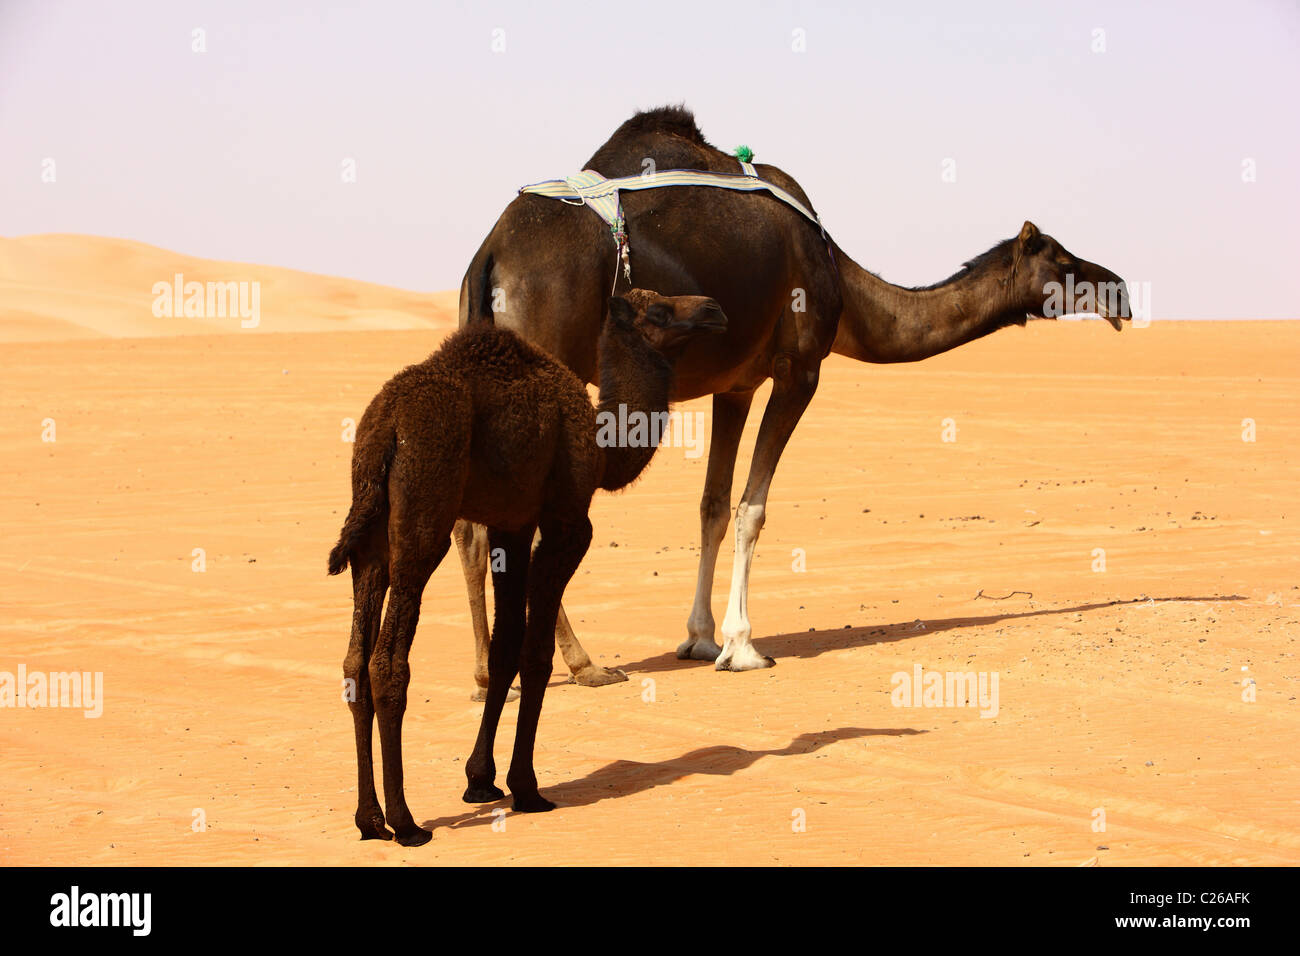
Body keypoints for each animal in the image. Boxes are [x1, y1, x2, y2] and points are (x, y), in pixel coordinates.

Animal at [328, 289, 726, 845]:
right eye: (659, 311)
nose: (714, 309)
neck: (600, 447)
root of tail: (385, 426)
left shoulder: (510, 526)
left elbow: (504, 649)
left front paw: (480, 780)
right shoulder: (567, 523)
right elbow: (534, 655)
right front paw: (527, 788)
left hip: (370, 533)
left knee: (354, 660)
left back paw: (368, 820)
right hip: (422, 516)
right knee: (388, 661)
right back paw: (405, 822)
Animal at [455, 105, 1131, 682]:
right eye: (1062, 258)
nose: (1121, 290)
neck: (844, 284)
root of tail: (490, 258)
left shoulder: (736, 383)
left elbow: (712, 504)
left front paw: (698, 637)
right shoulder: (800, 368)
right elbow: (752, 508)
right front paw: (741, 646)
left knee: (475, 525)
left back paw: (490, 670)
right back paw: (581, 663)